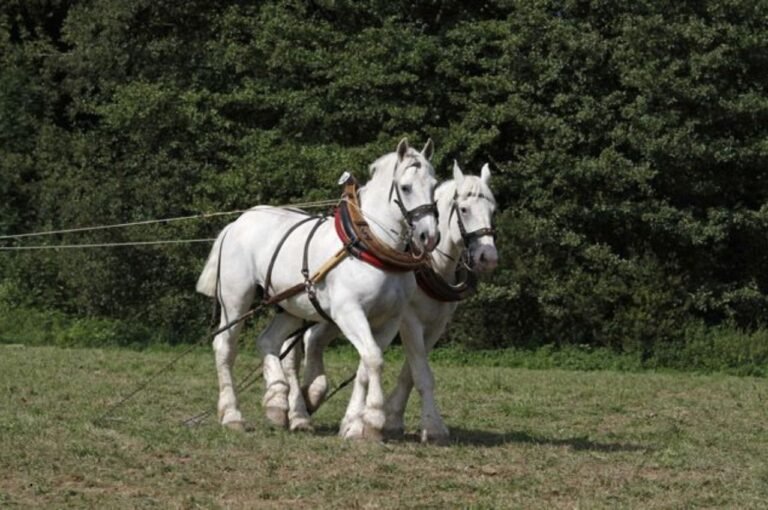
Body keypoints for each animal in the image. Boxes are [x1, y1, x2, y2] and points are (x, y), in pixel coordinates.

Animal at [196, 138, 440, 440]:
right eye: (405, 187)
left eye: (434, 185)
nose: (429, 236)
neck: (372, 247)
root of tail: (236, 223)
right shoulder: (349, 312)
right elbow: (374, 359)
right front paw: (372, 420)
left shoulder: (389, 320)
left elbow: (366, 364)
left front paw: (356, 423)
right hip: (235, 300)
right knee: (225, 347)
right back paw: (232, 415)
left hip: (289, 305)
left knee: (267, 341)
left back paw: (277, 400)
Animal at [282, 161, 498, 442]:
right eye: (464, 209)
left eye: (493, 210)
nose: (488, 257)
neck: (431, 266)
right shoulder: (408, 320)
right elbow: (420, 373)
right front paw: (432, 427)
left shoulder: (435, 324)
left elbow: (408, 372)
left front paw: (388, 418)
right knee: (290, 356)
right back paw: (295, 413)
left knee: (313, 340)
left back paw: (312, 395)